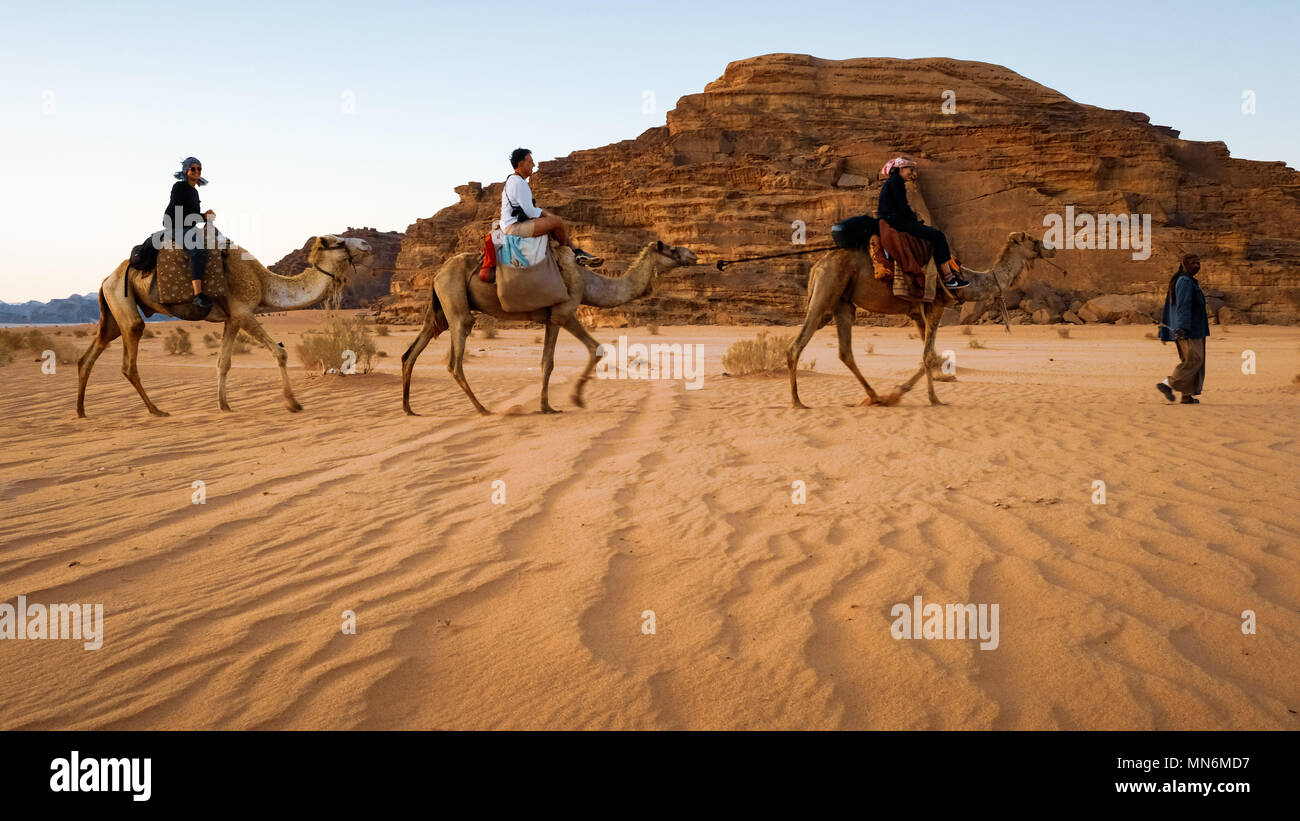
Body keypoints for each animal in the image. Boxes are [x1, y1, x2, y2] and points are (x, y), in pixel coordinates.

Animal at [77, 234, 373, 417]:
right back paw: (156, 410)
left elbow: (223, 362)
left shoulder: (232, 319)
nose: (367, 244)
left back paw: (81, 411)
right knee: (129, 358)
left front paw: (224, 406)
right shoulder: (244, 312)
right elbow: (280, 351)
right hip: (124, 302)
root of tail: (106, 278)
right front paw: (293, 403)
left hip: (113, 311)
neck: (263, 281)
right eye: (339, 241)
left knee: (91, 353)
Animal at [401, 241, 697, 415]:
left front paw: (554, 403)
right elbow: (581, 353)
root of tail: (438, 273)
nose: (693, 255)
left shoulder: (548, 318)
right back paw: (482, 408)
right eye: (671, 249)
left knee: (411, 352)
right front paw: (566, 402)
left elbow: (551, 359)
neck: (588, 282)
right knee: (455, 360)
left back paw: (408, 408)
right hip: (455, 303)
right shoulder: (562, 314)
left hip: (439, 310)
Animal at [787, 231, 1054, 408]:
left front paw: (901, 392)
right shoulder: (935, 305)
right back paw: (798, 401)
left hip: (842, 303)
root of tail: (817, 266)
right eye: (1032, 239)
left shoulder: (917, 313)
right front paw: (932, 398)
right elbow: (928, 355)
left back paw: (875, 397)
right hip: (827, 290)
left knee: (845, 352)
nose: (1052, 247)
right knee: (797, 345)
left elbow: (930, 354)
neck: (968, 281)